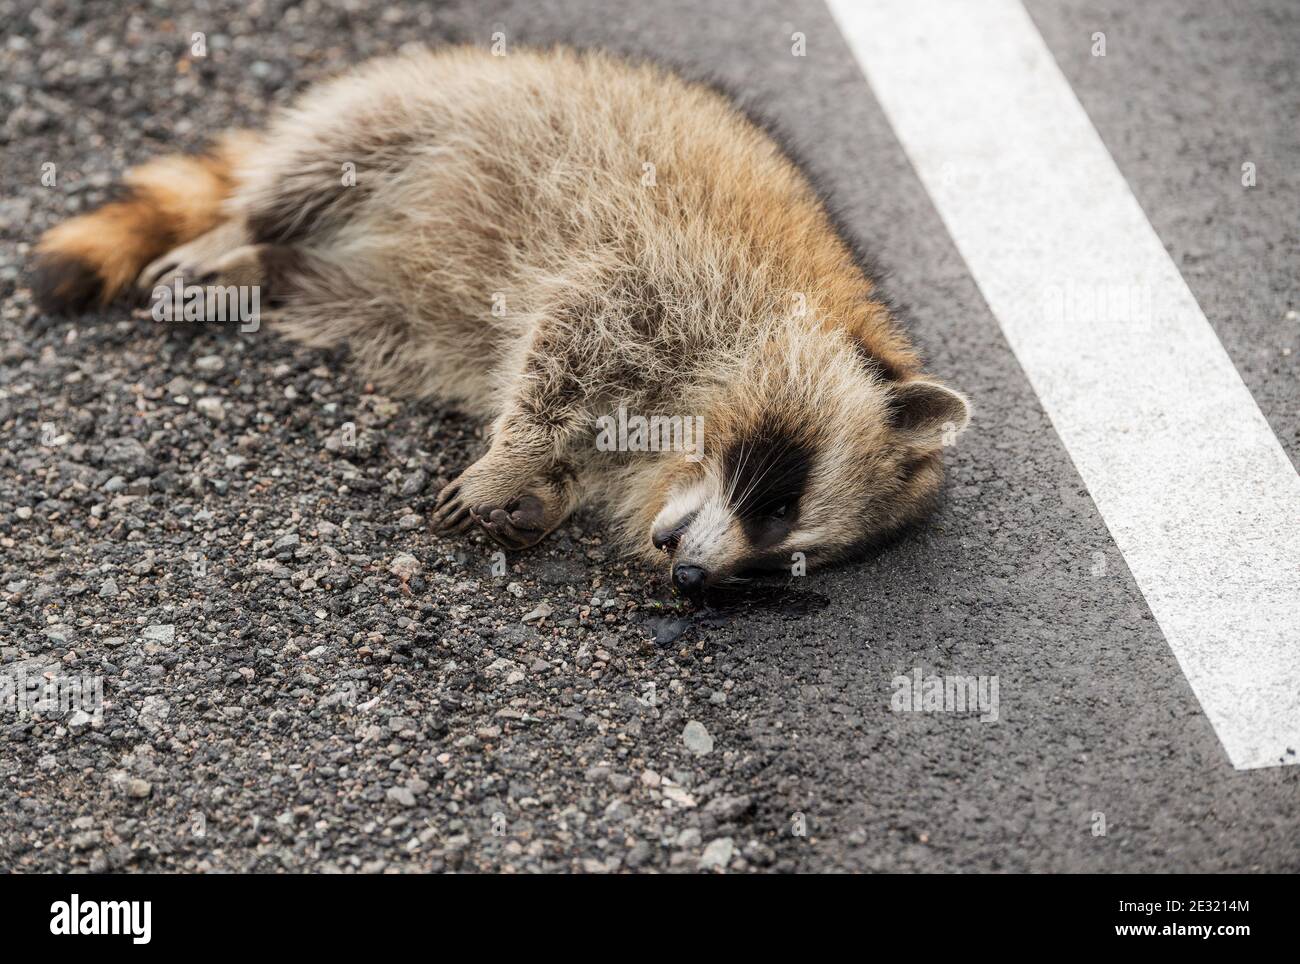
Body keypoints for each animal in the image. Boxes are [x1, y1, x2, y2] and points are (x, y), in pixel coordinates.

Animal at [30, 46, 970, 602]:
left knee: (330, 287)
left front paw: (546, 494)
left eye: (774, 564)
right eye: (777, 505)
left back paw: (263, 267)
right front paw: (517, 457)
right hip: (432, 108)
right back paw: (238, 231)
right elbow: (570, 335)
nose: (696, 574)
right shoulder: (675, 276)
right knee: (309, 172)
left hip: (379, 299)